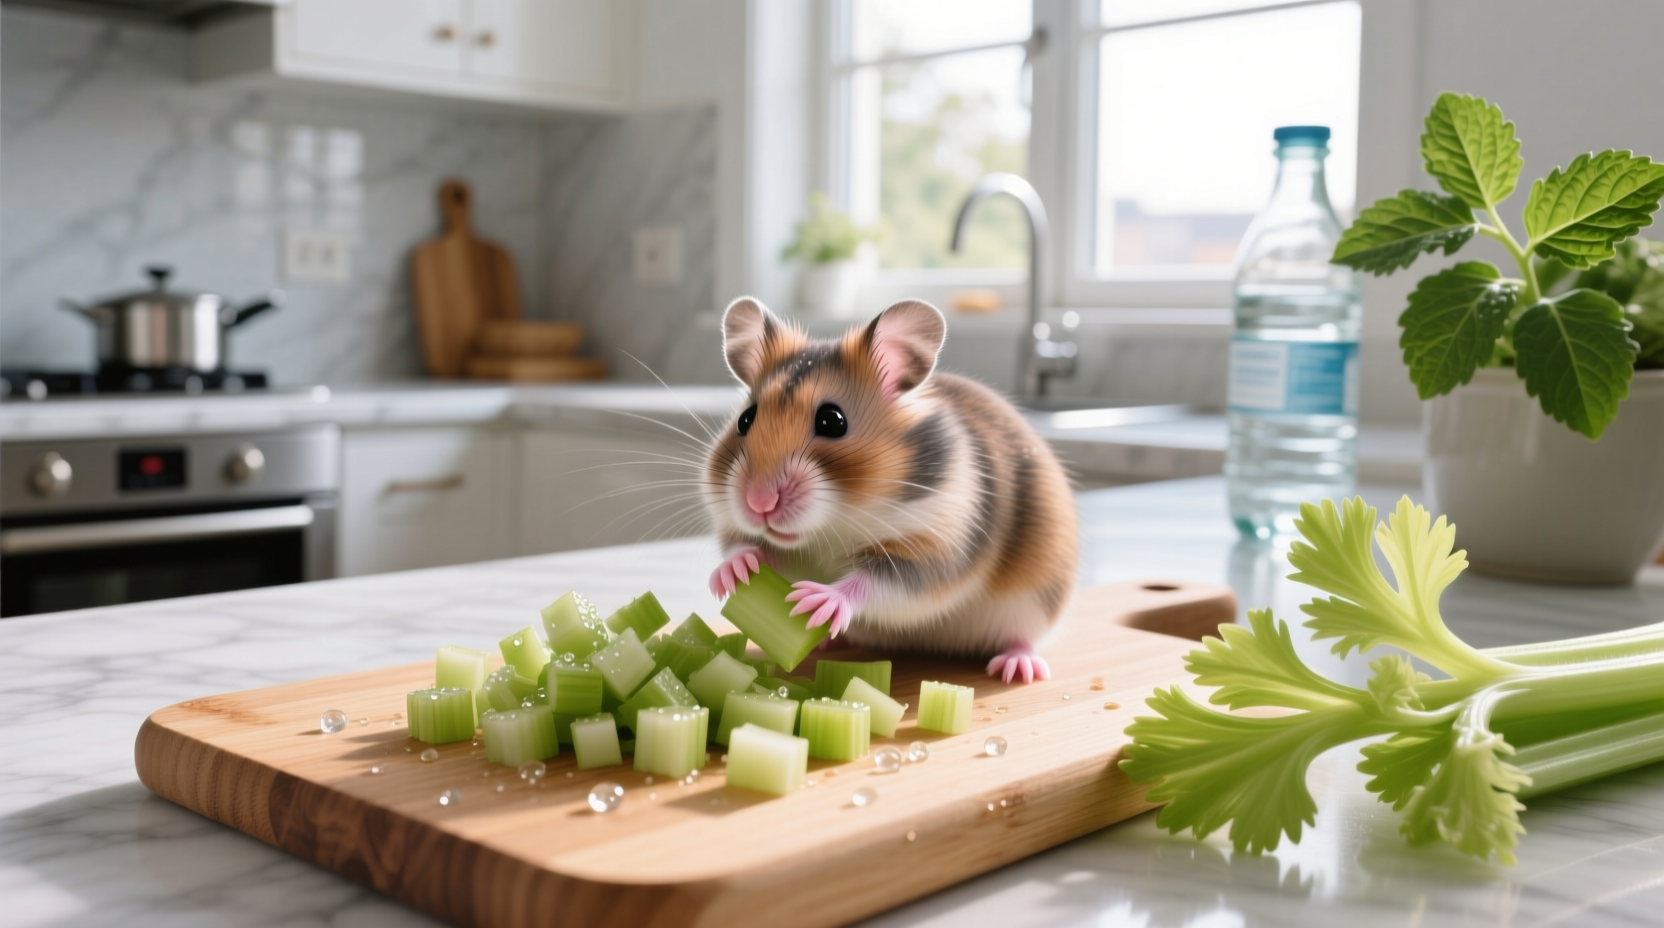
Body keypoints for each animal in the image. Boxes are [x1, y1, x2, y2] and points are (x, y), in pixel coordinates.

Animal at [704, 297, 1079, 683]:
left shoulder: (933, 551)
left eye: (832, 421)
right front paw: (733, 573)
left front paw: (817, 600)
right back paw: (826, 643)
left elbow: (874, 583)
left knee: (1022, 638)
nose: (758, 502)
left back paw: (1018, 668)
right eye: (745, 419)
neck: (840, 519)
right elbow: (747, 546)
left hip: (1035, 602)